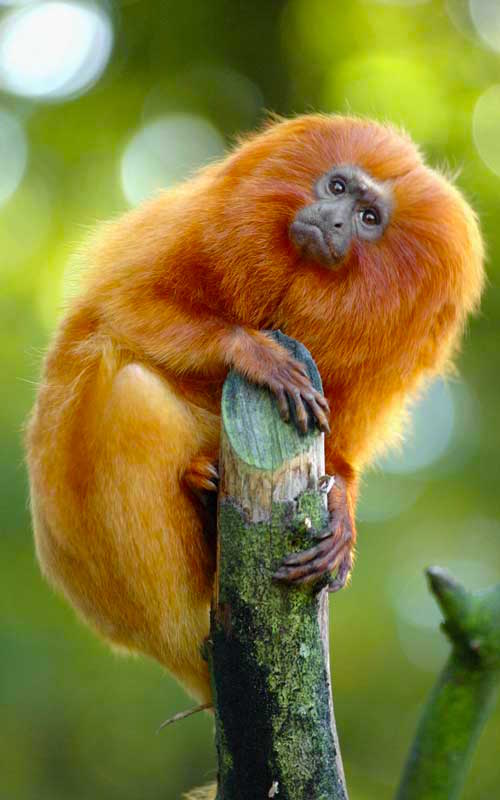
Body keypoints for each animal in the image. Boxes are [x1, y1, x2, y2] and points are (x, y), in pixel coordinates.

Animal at [25, 114, 484, 710]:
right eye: (337, 187)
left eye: (368, 219)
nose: (333, 219)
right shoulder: (198, 224)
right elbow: (122, 305)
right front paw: (251, 351)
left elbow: (342, 448)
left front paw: (342, 512)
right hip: (88, 559)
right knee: (133, 394)